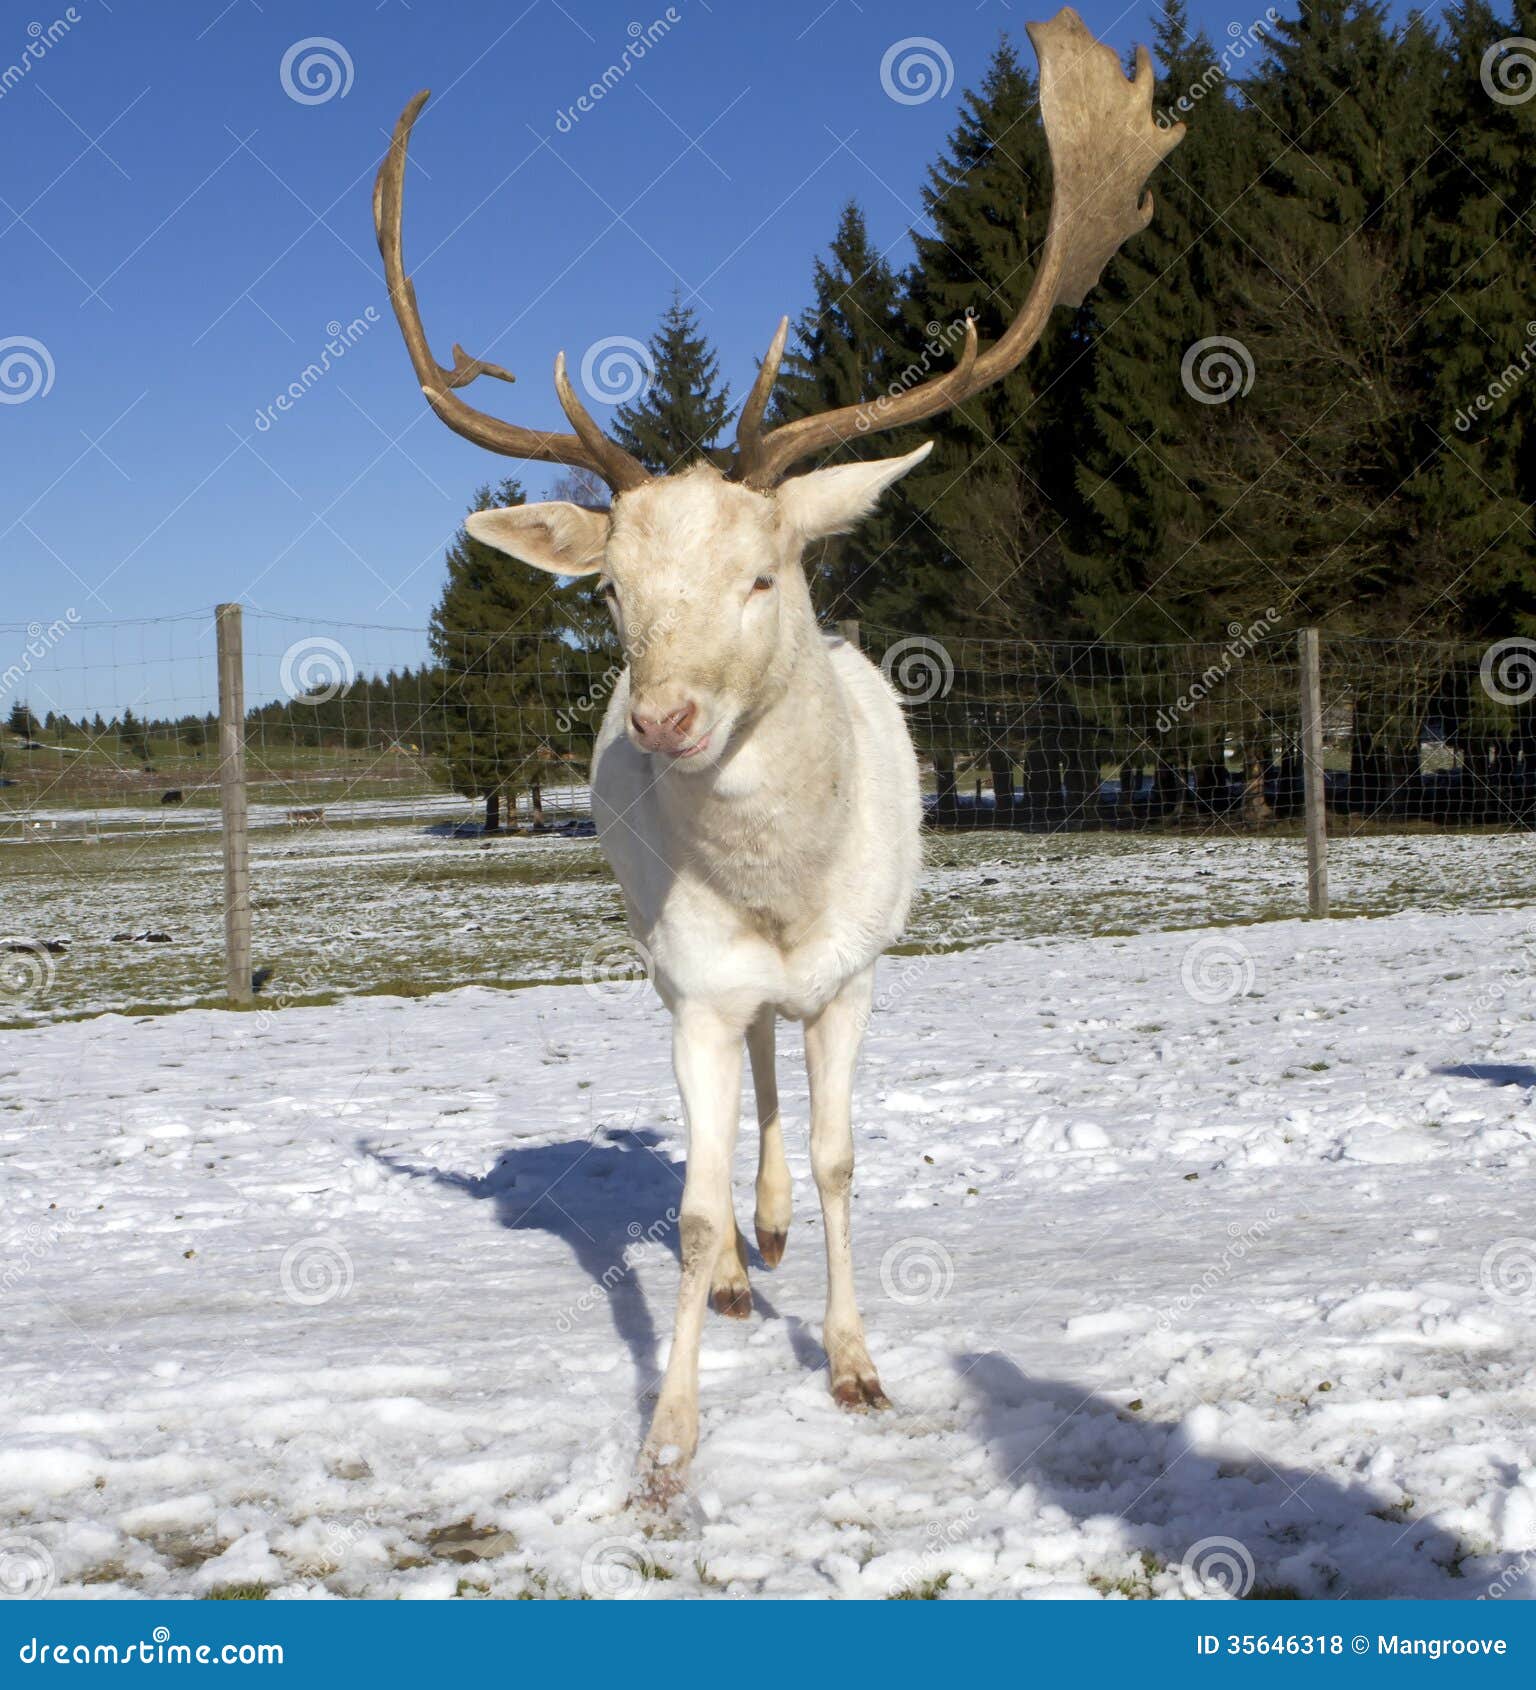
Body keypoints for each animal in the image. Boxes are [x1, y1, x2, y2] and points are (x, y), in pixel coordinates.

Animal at [373, 7, 1181, 1499]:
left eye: (764, 572)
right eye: (611, 590)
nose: (665, 719)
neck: (781, 887)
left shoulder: (856, 974)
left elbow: (848, 1158)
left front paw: (858, 1364)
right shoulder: (695, 980)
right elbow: (690, 1217)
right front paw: (668, 1446)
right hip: (667, 959)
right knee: (743, 1081)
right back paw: (757, 1255)